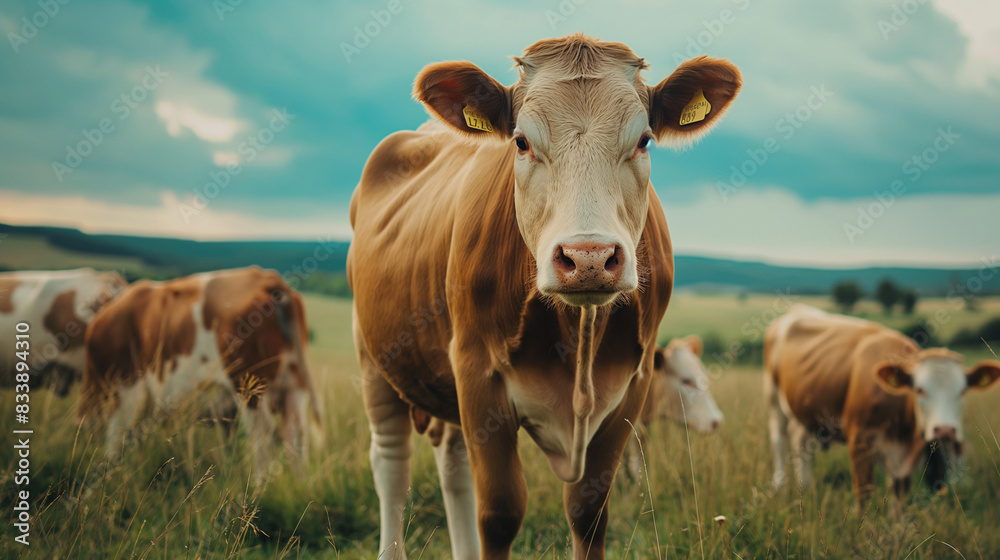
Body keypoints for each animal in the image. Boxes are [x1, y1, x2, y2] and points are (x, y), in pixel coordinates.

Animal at [78, 266, 323, 483]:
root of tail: (270, 280)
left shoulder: (127, 386)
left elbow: (115, 434)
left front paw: (110, 474)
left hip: (249, 388)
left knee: (263, 435)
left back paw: (258, 487)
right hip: (293, 386)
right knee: (296, 436)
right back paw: (298, 486)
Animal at [764, 304, 1000, 510]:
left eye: (962, 391)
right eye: (919, 389)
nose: (945, 430)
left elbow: (898, 491)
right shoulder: (860, 439)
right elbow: (863, 491)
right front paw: (859, 530)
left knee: (801, 445)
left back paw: (807, 489)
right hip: (774, 399)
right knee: (779, 442)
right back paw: (780, 488)